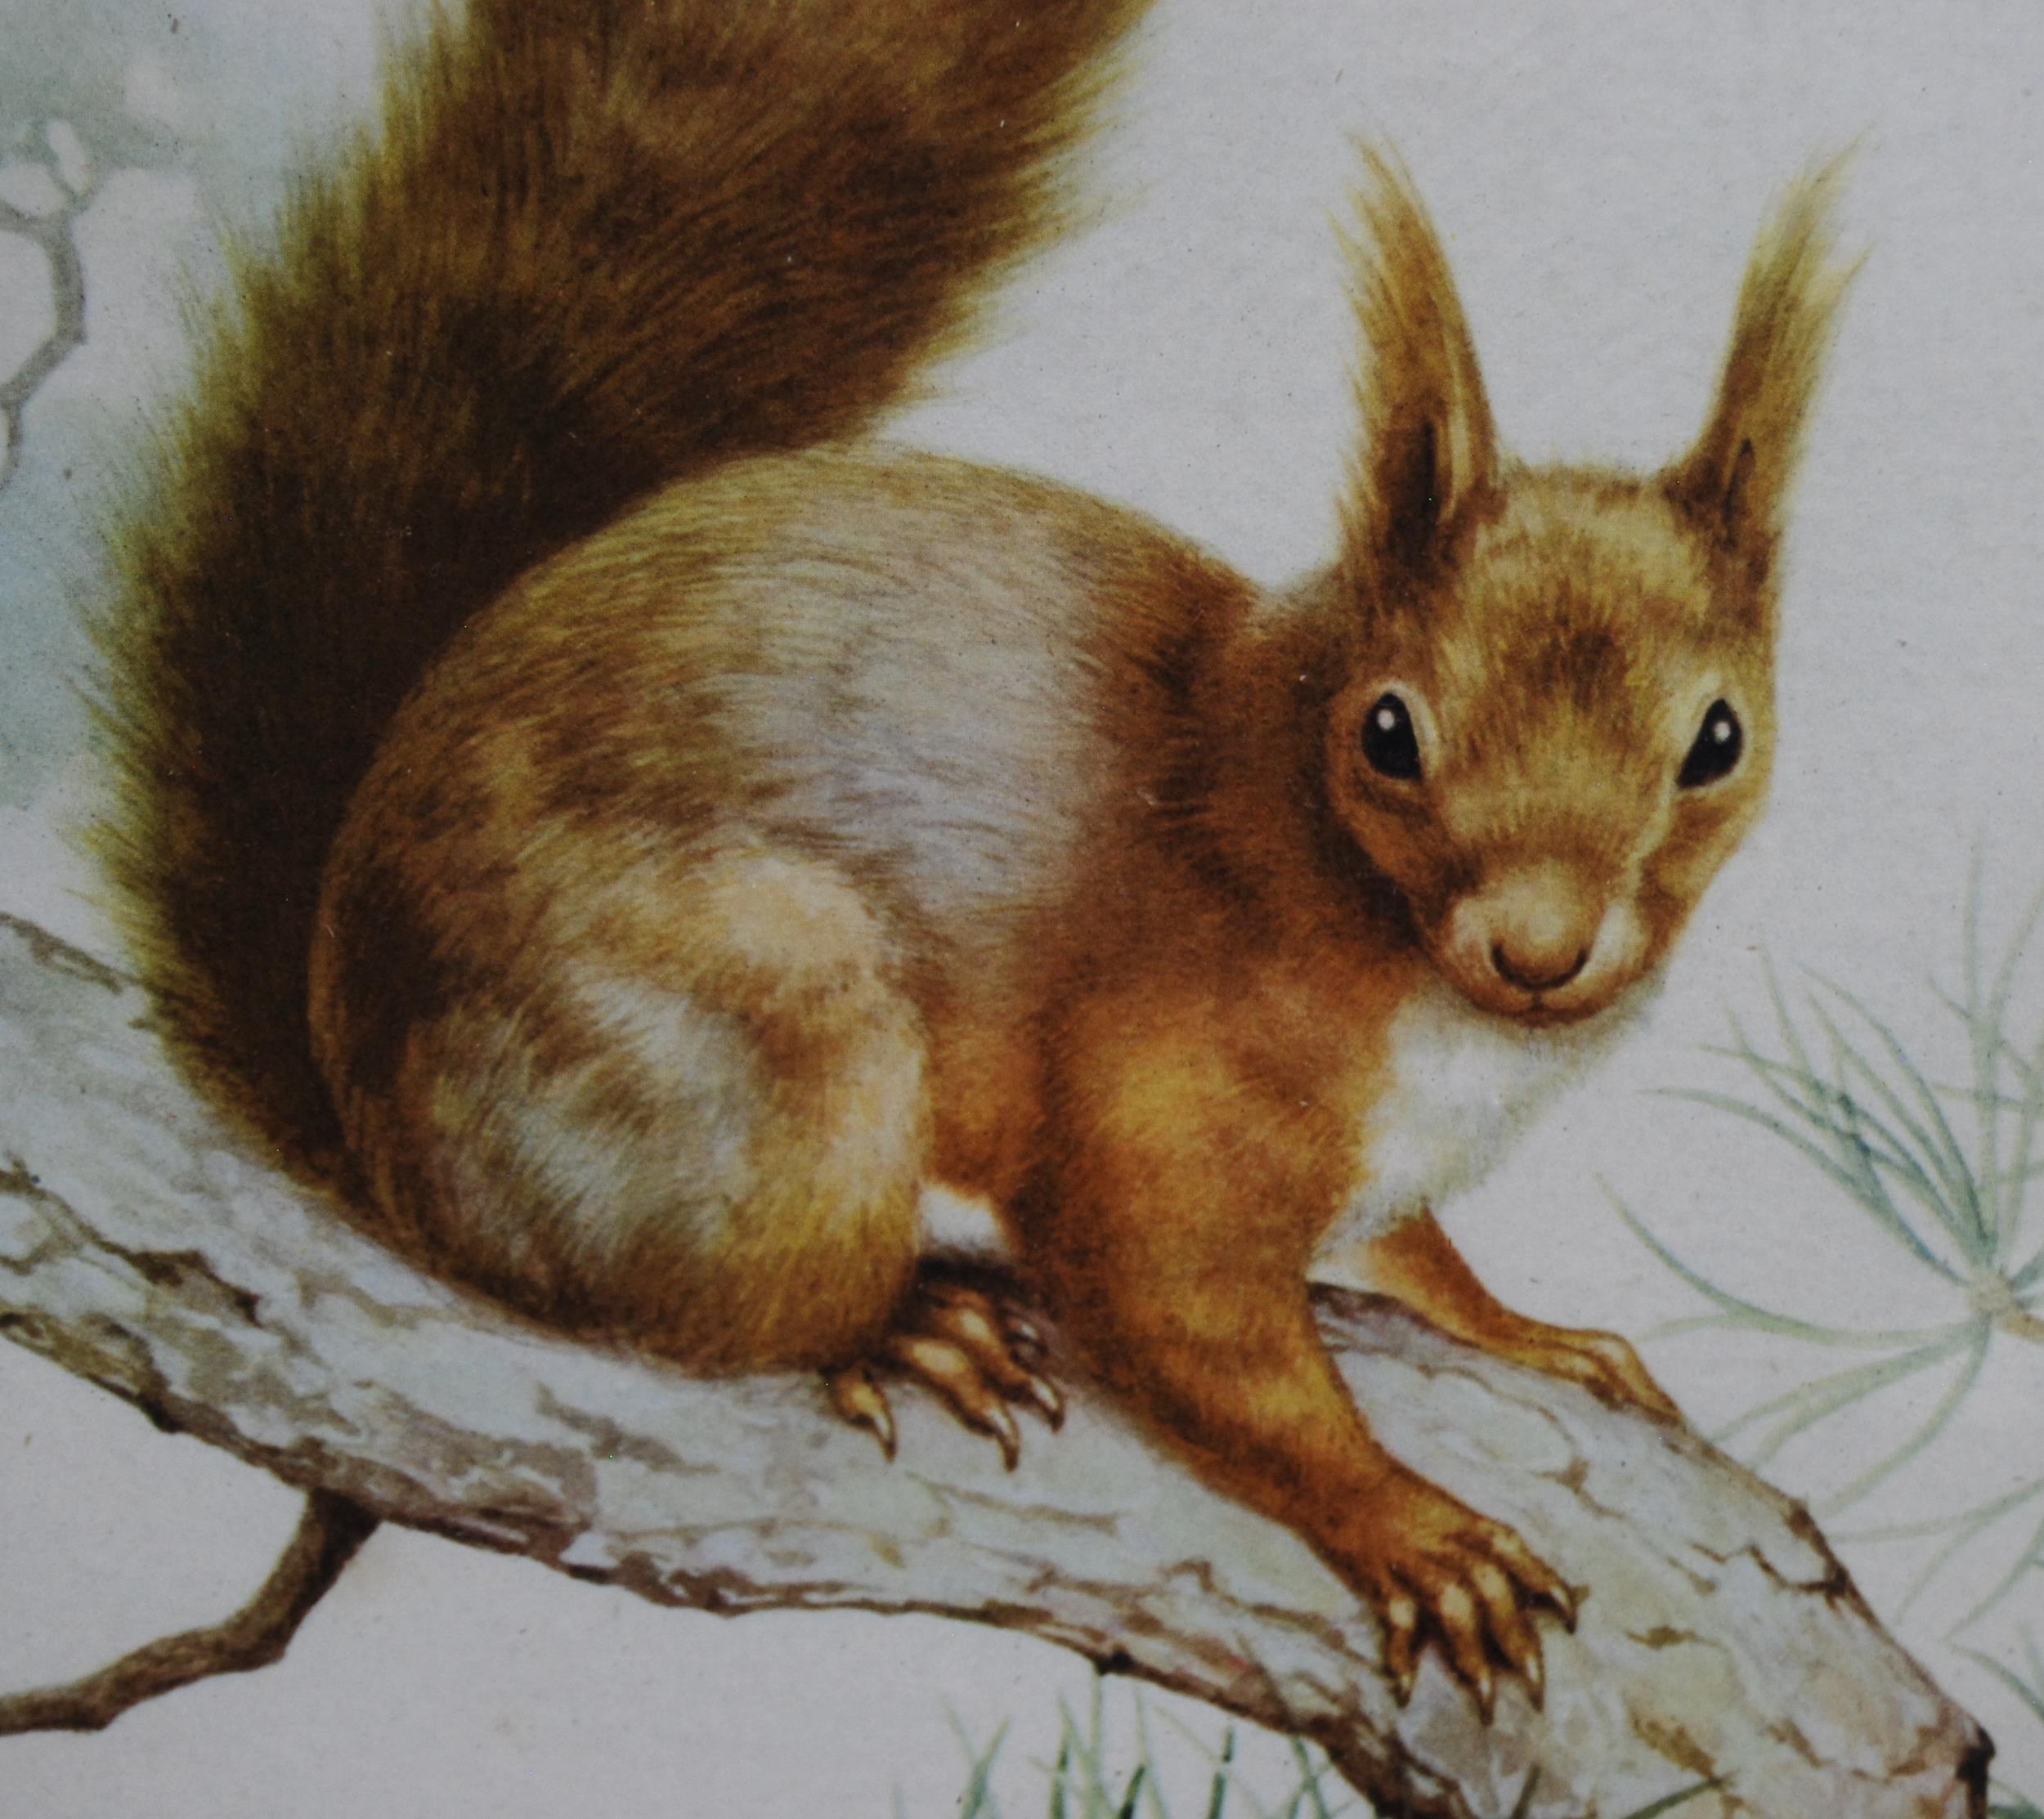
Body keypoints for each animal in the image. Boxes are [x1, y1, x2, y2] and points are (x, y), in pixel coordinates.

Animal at [91, 0, 1853, 1716]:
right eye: (1388, 732)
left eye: (1717, 738)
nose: (1540, 951)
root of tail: (360, 1100)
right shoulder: (1161, 1101)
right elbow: (1195, 1325)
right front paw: (1411, 1523)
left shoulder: (1386, 1159)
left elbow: (1411, 1249)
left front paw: (1533, 1330)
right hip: (759, 1059)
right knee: (690, 1299)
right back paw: (901, 1326)